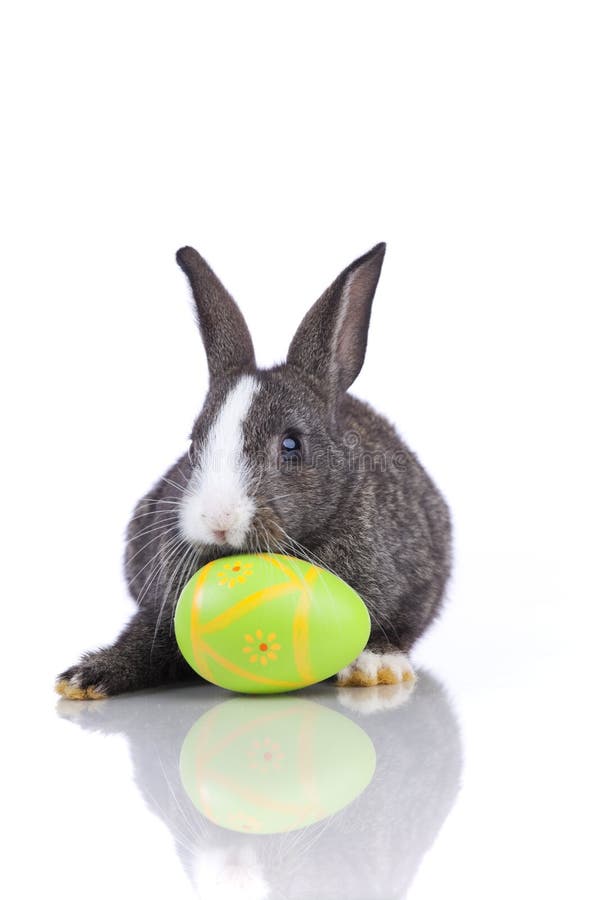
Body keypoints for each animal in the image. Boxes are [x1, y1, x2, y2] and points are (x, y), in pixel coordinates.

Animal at [55, 243, 452, 700]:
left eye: (291, 445)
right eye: (193, 444)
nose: (218, 520)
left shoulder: (416, 586)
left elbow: (395, 628)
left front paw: (375, 666)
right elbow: (146, 637)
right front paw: (85, 678)